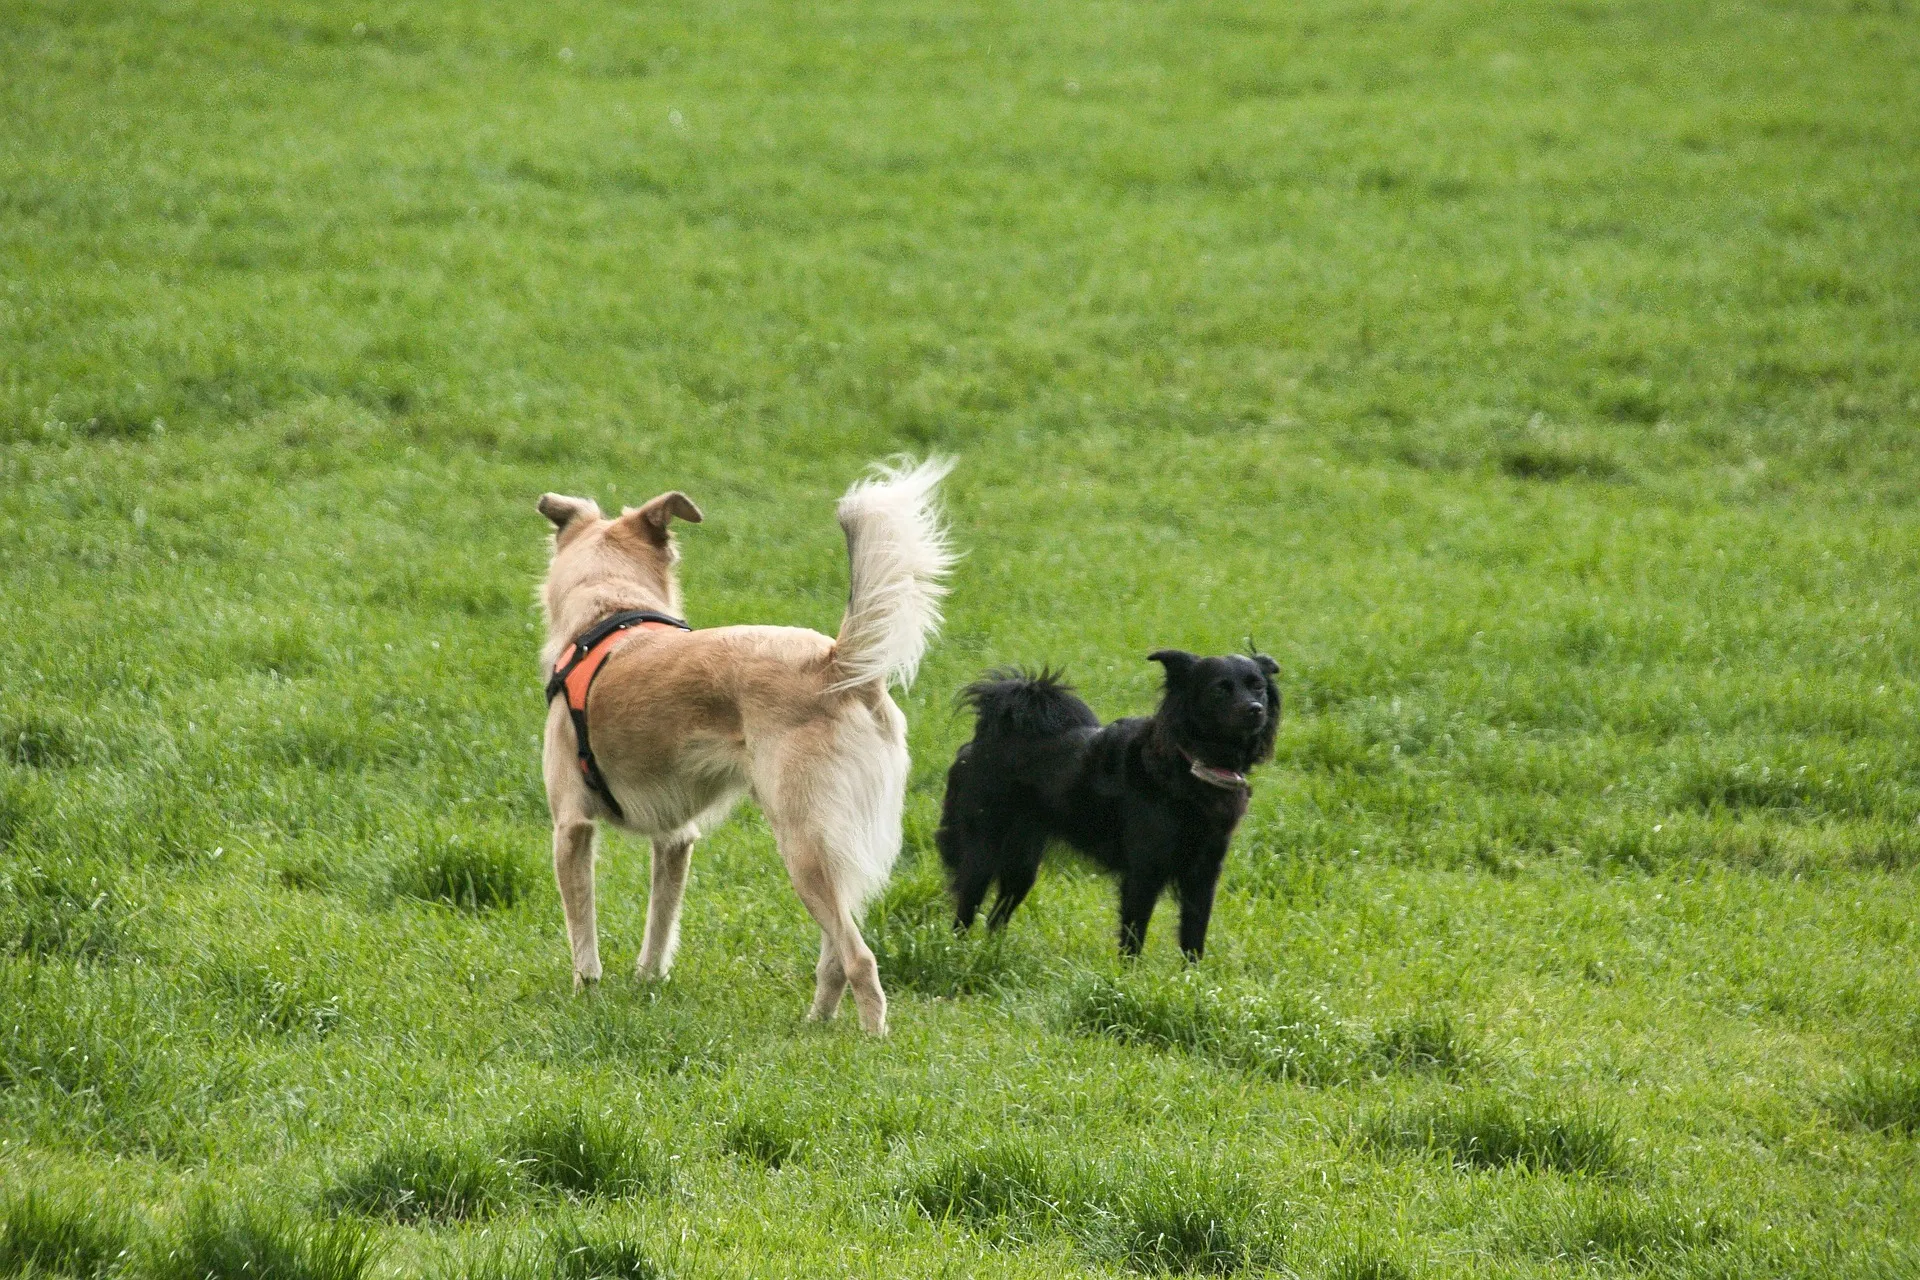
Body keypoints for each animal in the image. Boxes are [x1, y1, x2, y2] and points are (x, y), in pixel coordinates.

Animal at [537, 454, 956, 1036]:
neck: (610, 606)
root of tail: (837, 665)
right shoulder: (675, 838)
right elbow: (659, 926)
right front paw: (646, 985)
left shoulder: (571, 827)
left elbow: (583, 934)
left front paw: (587, 996)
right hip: (831, 851)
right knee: (834, 956)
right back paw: (815, 1026)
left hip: (803, 846)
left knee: (859, 959)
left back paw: (872, 1041)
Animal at [936, 652, 1282, 959]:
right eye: (1220, 689)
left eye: (1258, 688)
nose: (1255, 709)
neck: (1189, 764)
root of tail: (982, 740)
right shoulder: (1144, 872)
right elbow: (1134, 935)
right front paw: (1129, 979)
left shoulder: (1204, 873)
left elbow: (1194, 936)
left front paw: (1192, 981)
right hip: (983, 850)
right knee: (965, 910)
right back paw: (959, 956)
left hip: (1022, 863)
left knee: (997, 916)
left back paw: (991, 955)